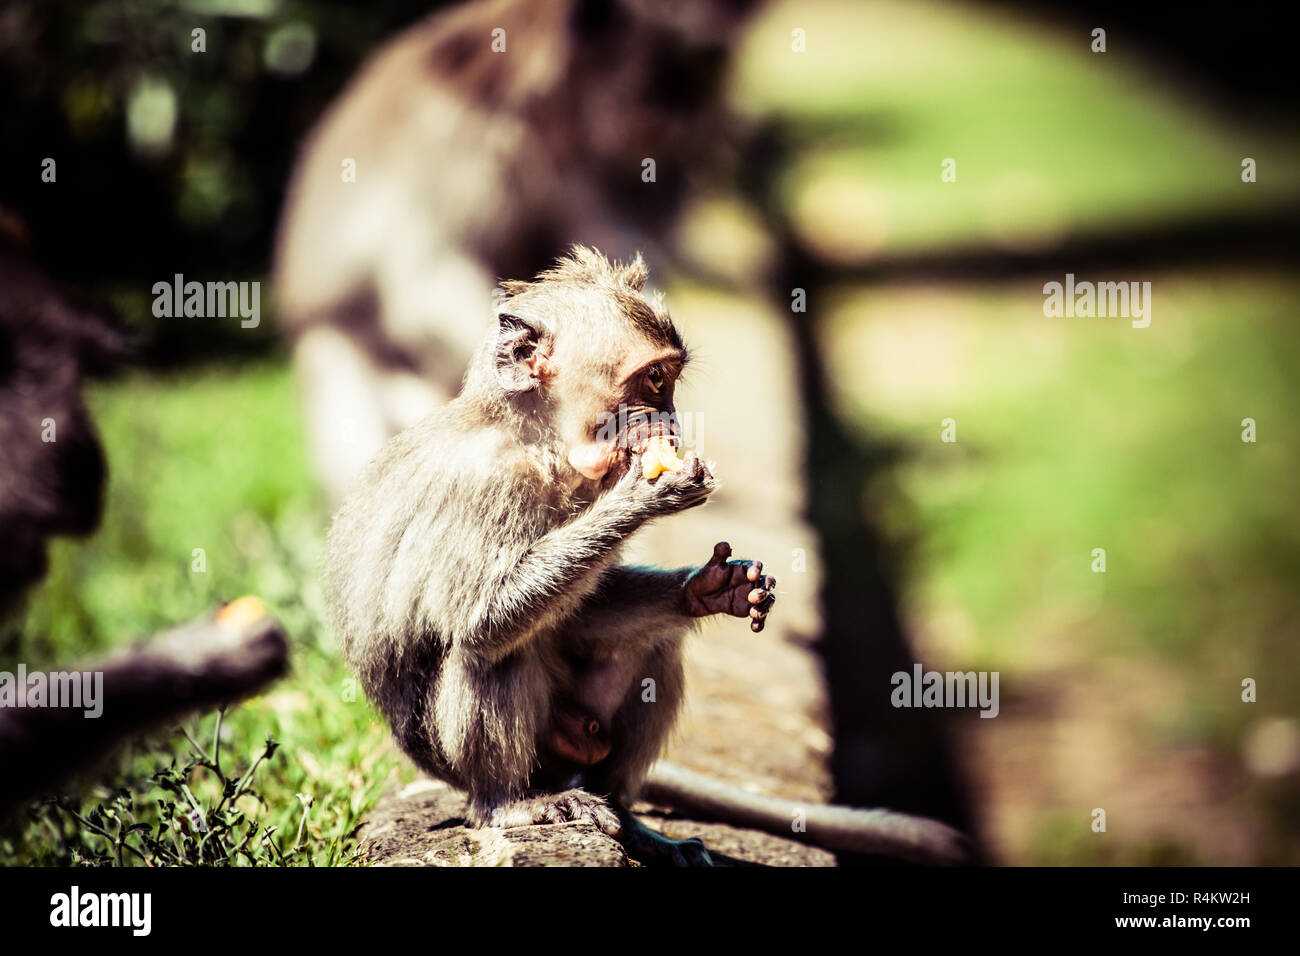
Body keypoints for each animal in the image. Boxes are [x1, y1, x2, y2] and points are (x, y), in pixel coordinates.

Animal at [327, 247, 972, 866]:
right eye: (655, 379)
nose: (672, 420)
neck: (536, 443)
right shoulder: (480, 485)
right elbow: (480, 620)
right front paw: (647, 494)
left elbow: (584, 613)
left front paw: (711, 589)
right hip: (467, 760)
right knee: (489, 655)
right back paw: (508, 804)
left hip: (574, 739)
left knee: (652, 642)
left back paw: (629, 819)